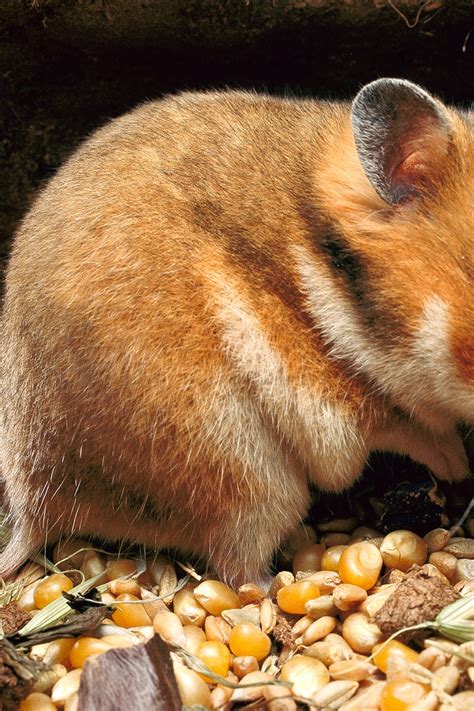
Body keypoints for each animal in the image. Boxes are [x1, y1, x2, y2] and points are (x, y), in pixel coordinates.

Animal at [0, 78, 472, 586]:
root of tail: (35, 507)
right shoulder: (340, 406)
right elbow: (412, 431)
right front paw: (459, 466)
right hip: (244, 477)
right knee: (237, 567)